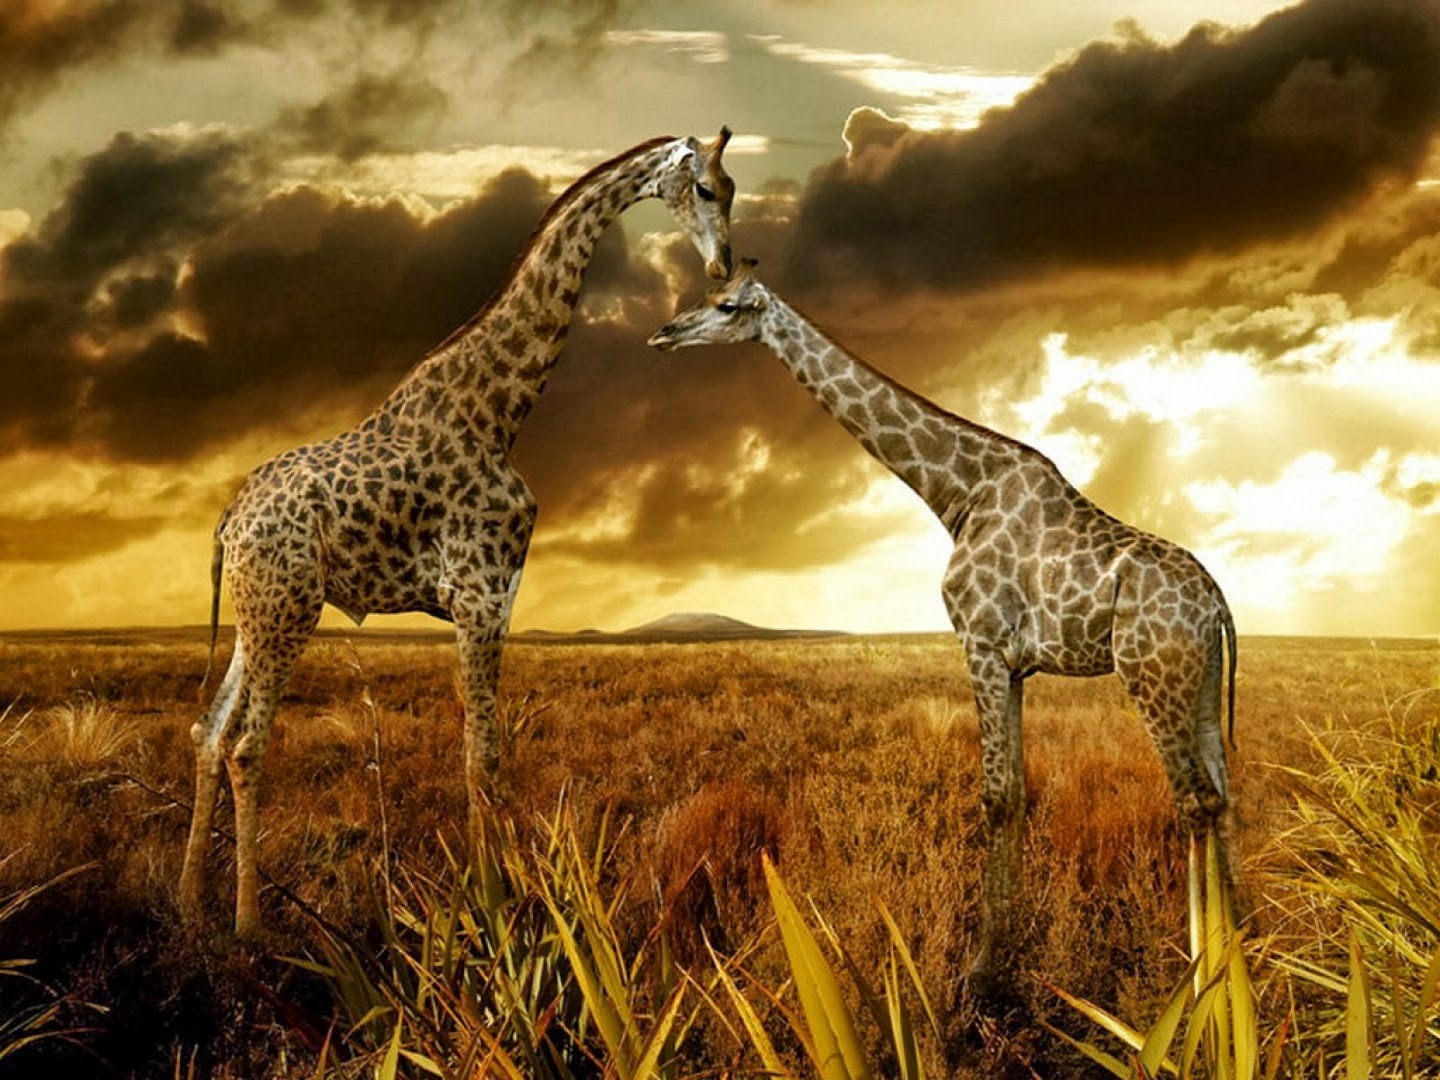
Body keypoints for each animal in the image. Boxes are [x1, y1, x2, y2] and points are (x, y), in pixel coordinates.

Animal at [180, 129, 737, 937]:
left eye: (733, 187)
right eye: (703, 187)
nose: (724, 265)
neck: (500, 412)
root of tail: (228, 522)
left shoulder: (492, 599)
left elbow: (477, 753)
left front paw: (492, 894)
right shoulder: (478, 598)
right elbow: (484, 758)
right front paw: (492, 904)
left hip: (256, 617)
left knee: (208, 731)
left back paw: (189, 903)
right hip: (287, 610)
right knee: (247, 744)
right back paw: (249, 925)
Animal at [648, 264, 1238, 995]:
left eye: (728, 306)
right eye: (704, 296)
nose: (664, 334)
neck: (957, 495)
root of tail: (1215, 600)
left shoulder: (980, 643)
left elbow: (994, 795)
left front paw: (983, 967)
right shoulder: (1014, 665)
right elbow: (1016, 791)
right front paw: (1012, 943)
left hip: (1150, 673)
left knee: (1193, 799)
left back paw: (1201, 974)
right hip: (1200, 680)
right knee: (1222, 792)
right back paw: (1240, 947)